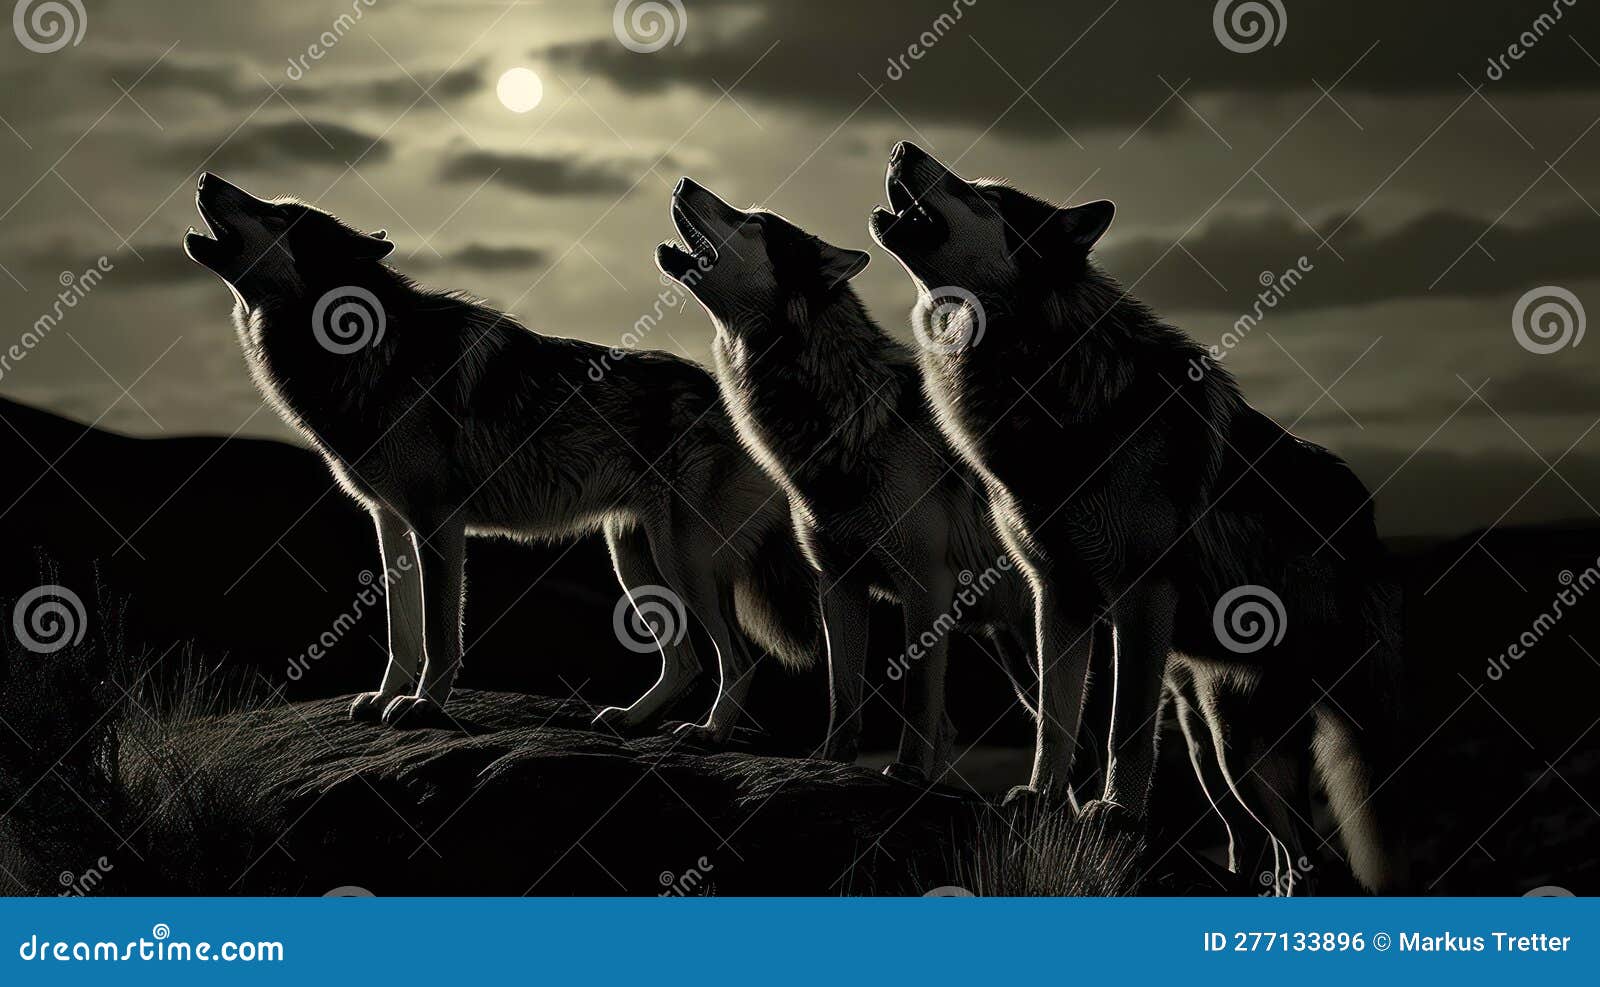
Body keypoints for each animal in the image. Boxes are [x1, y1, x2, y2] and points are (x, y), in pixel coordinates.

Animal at [183, 173, 820, 741]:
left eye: (279, 215)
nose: (207, 177)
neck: (365, 351)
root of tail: (731, 399)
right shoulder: (390, 524)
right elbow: (401, 635)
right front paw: (386, 699)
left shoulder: (439, 524)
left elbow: (441, 637)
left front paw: (423, 708)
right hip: (634, 559)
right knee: (685, 662)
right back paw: (632, 721)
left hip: (681, 559)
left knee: (739, 658)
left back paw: (709, 733)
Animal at [656, 177, 1108, 792]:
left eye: (753, 222)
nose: (682, 182)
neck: (841, 420)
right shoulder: (837, 583)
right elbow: (843, 695)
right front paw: (828, 763)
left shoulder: (925, 586)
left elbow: (919, 699)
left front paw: (909, 772)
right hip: (1021, 649)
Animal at [869, 142, 1408, 893]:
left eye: (985, 195)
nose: (901, 148)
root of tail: (1366, 521)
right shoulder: (1057, 595)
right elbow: (1056, 719)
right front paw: (1041, 798)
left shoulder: (1140, 595)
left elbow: (1124, 726)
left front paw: (1116, 814)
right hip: (1230, 749)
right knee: (1288, 848)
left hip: (1314, 747)